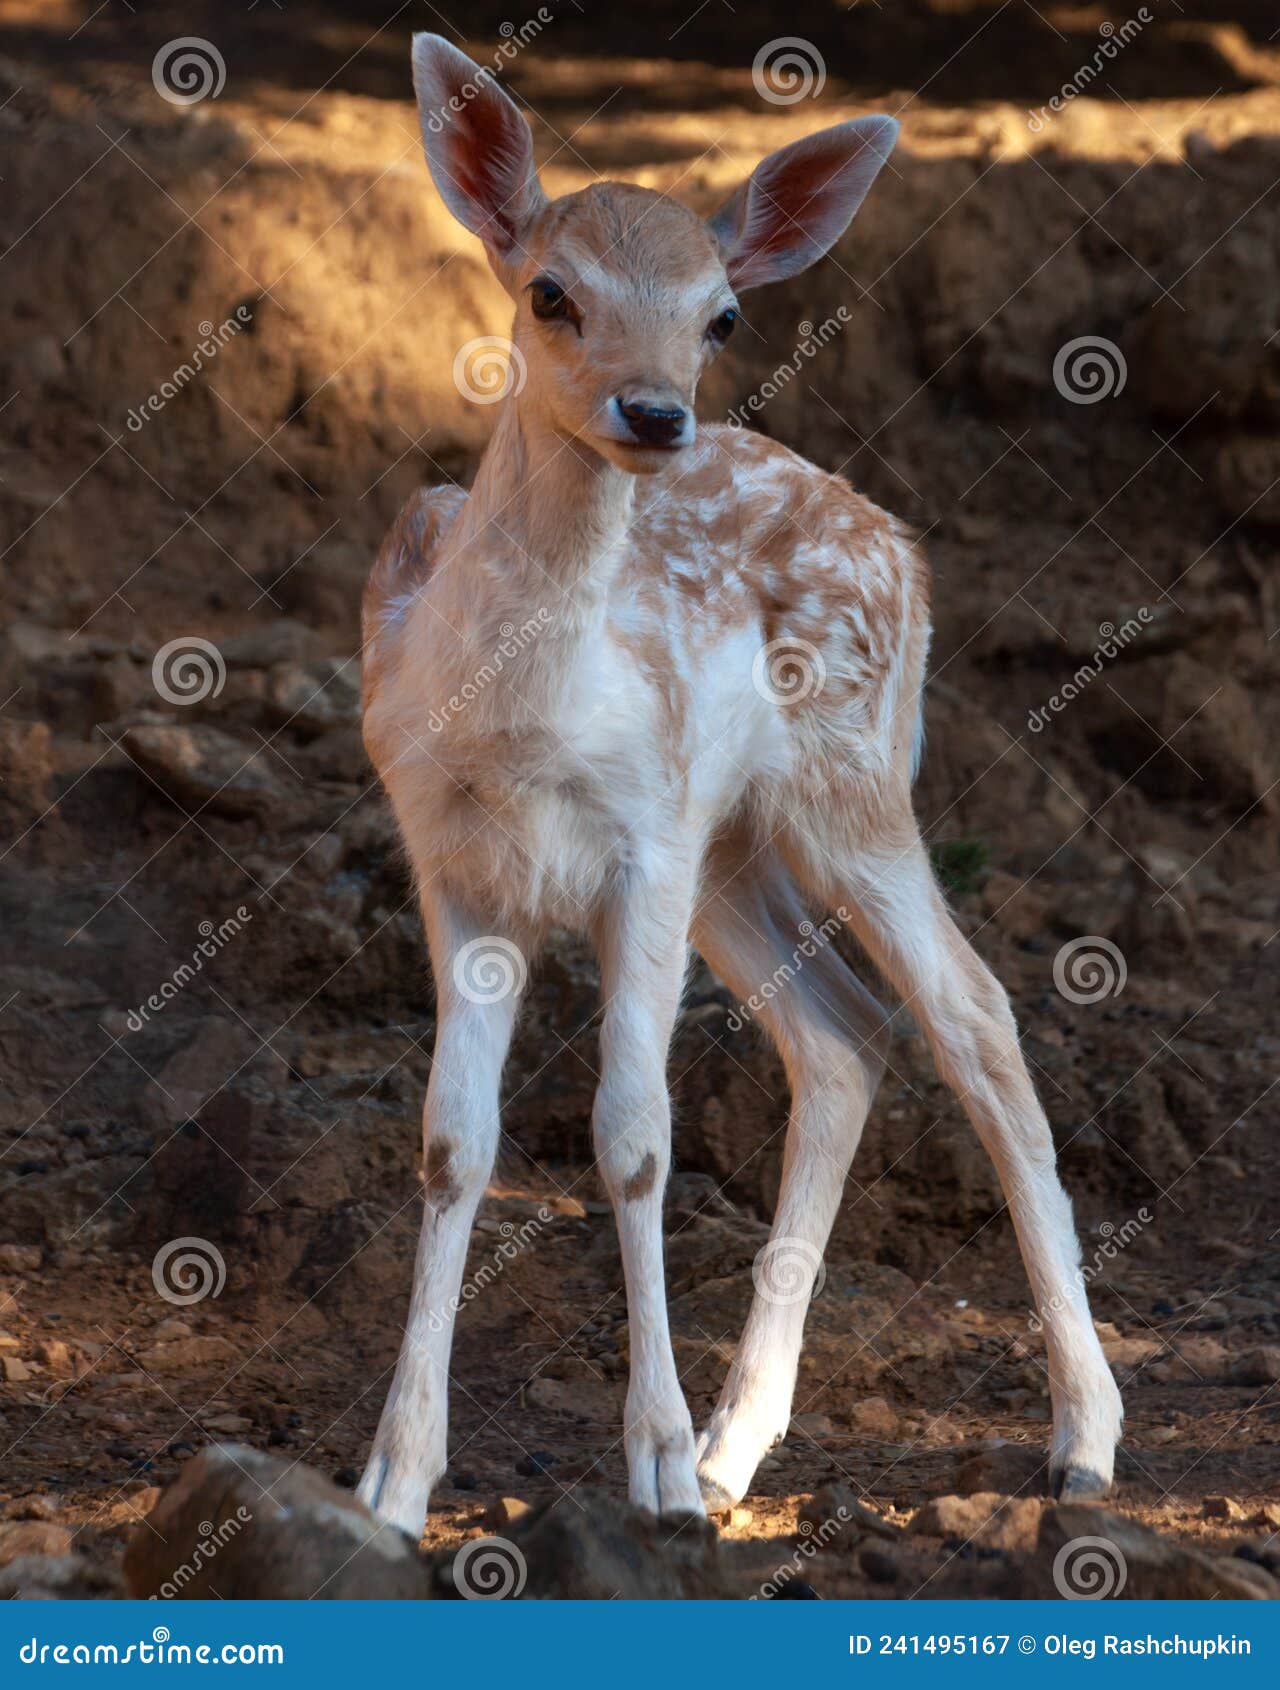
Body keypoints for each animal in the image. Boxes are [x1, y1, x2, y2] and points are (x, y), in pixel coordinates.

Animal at [355, 33, 1123, 1539]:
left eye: (719, 318)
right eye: (548, 290)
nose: (653, 411)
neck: (516, 717)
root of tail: (904, 546)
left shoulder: (640, 837)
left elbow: (635, 1137)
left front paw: (647, 1469)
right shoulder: (452, 854)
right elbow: (452, 1143)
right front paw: (392, 1485)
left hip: (850, 784)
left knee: (975, 1015)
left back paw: (1082, 1440)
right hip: (732, 848)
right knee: (844, 1037)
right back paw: (735, 1443)